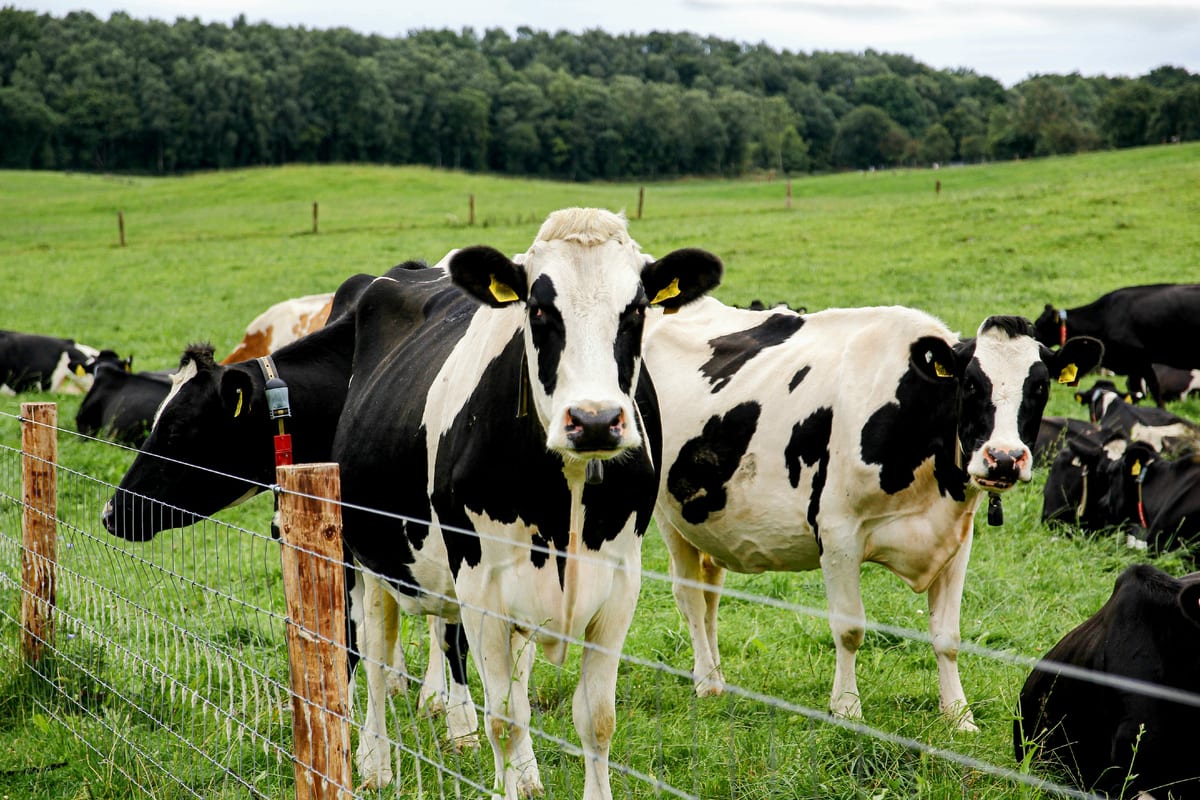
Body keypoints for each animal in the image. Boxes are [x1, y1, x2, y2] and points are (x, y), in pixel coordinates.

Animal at [332, 207, 722, 798]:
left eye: (634, 310)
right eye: (538, 309)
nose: (594, 420)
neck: (568, 496)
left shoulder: (621, 584)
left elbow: (595, 718)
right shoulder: (481, 587)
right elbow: (504, 719)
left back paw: (526, 775)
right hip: (367, 555)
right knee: (374, 657)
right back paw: (375, 764)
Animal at [641, 300, 1102, 731]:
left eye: (1039, 387)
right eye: (970, 384)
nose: (1004, 459)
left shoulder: (957, 537)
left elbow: (948, 636)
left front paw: (958, 715)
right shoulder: (838, 533)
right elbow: (849, 628)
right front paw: (847, 709)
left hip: (707, 521)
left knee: (710, 593)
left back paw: (717, 675)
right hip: (668, 514)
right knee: (689, 595)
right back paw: (706, 681)